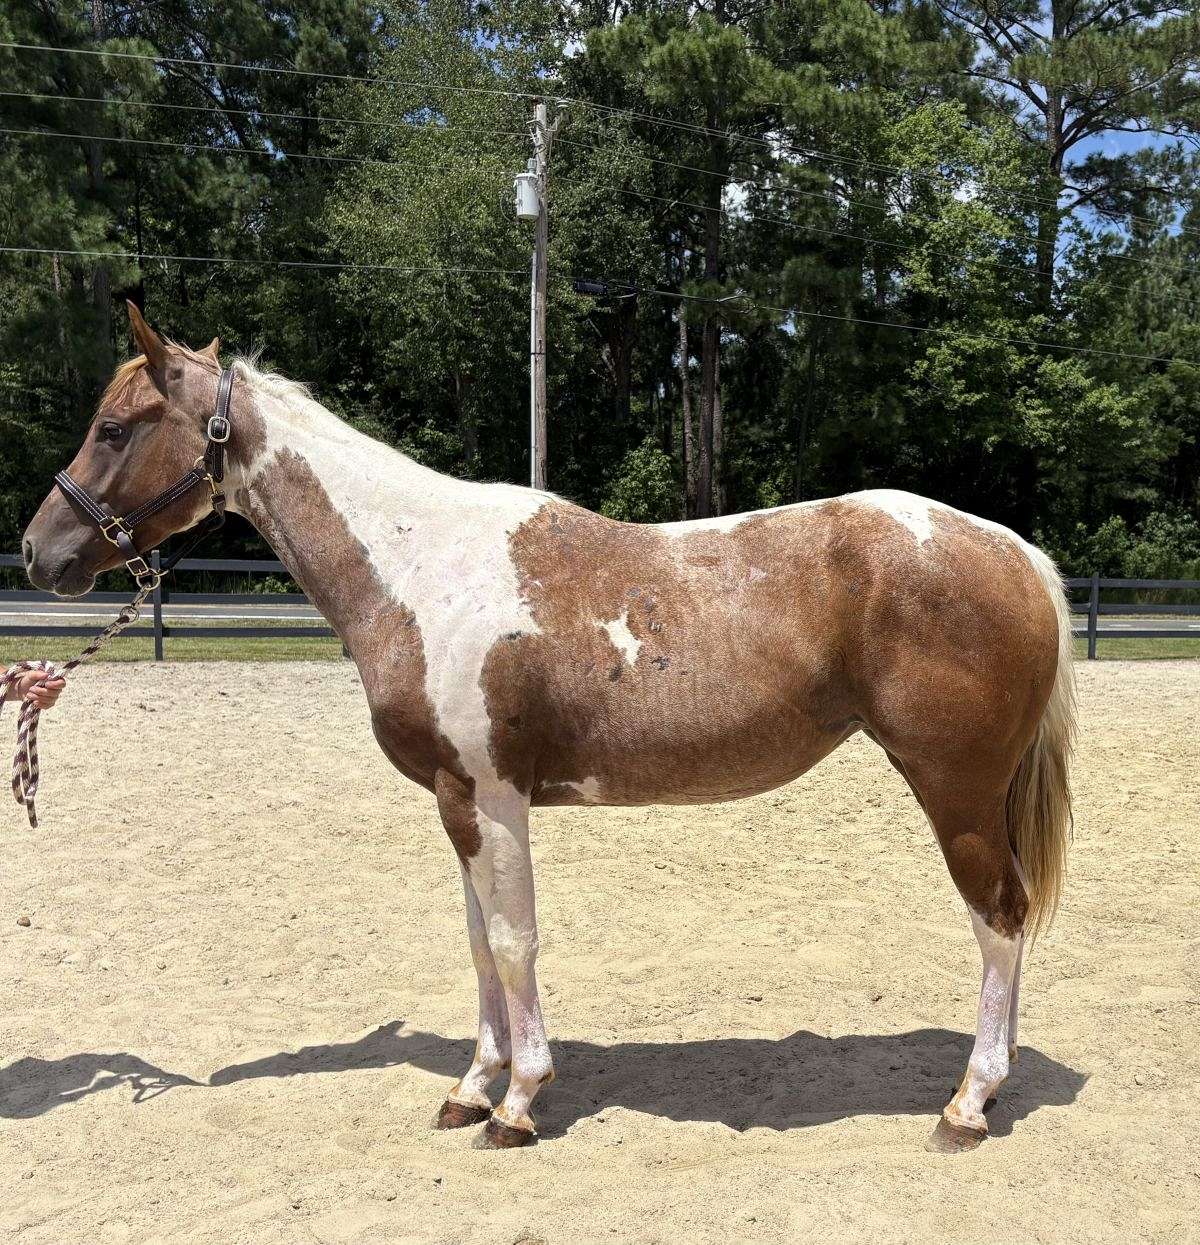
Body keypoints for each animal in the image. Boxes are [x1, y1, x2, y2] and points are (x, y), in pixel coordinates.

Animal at [22, 303, 1075, 1153]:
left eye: (114, 428)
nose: (37, 550)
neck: (419, 563)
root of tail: (1014, 552)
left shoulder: (494, 794)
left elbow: (515, 940)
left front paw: (520, 1101)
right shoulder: (456, 802)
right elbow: (478, 941)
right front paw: (470, 1088)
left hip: (957, 790)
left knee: (999, 918)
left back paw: (967, 1104)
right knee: (1011, 922)